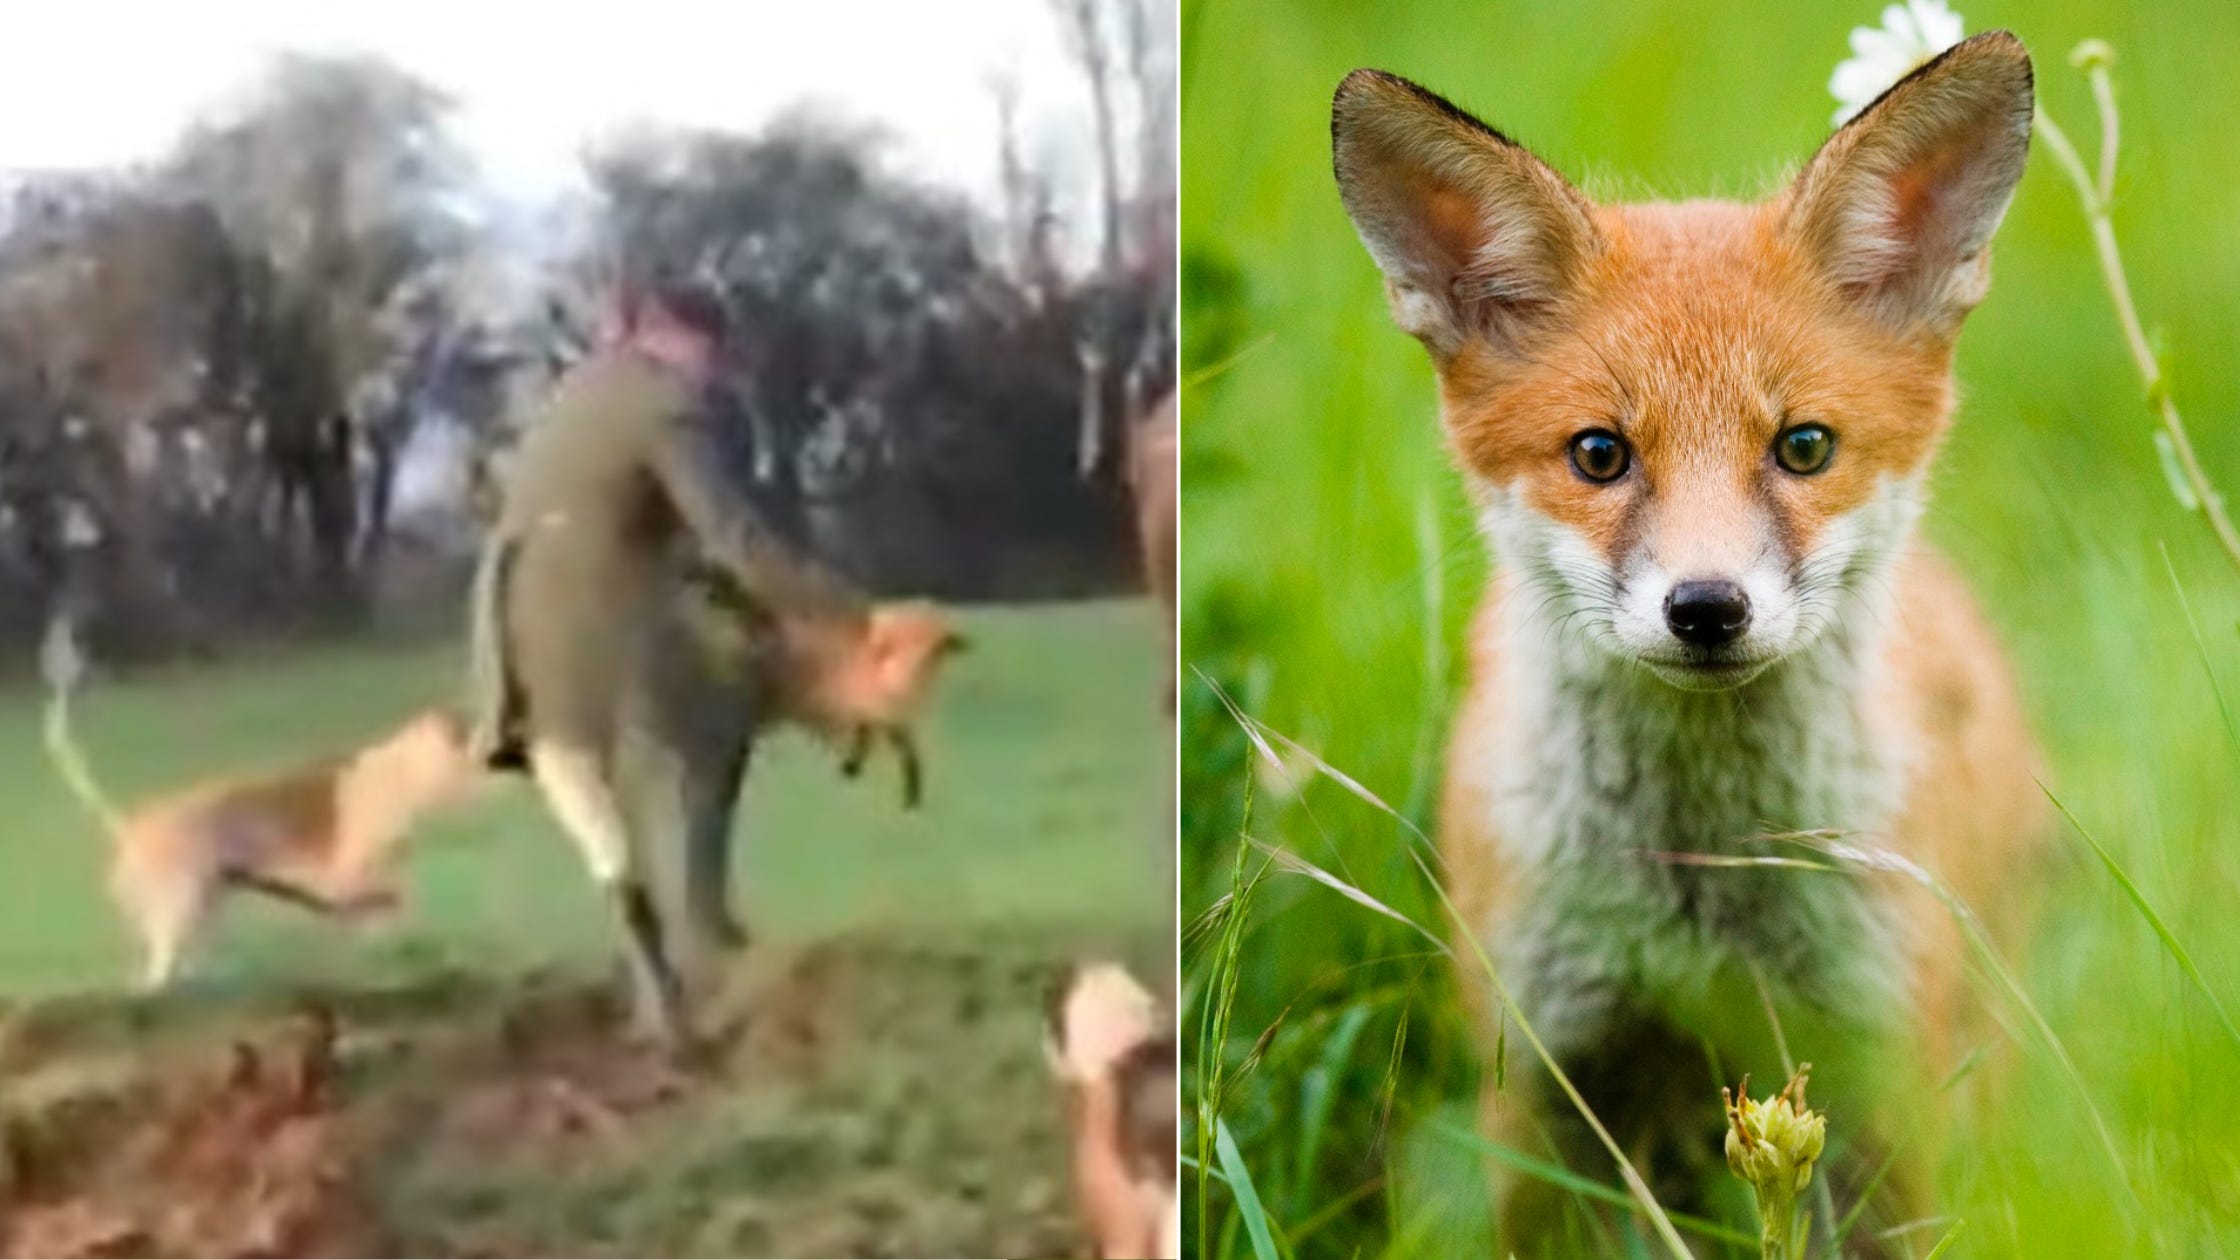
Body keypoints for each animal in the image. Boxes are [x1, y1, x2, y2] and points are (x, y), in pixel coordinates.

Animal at [1331, 31, 2045, 1255]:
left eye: (1803, 447)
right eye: (1599, 454)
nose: (1707, 607)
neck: (1702, 894)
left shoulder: (1881, 1072)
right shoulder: (1545, 1071)